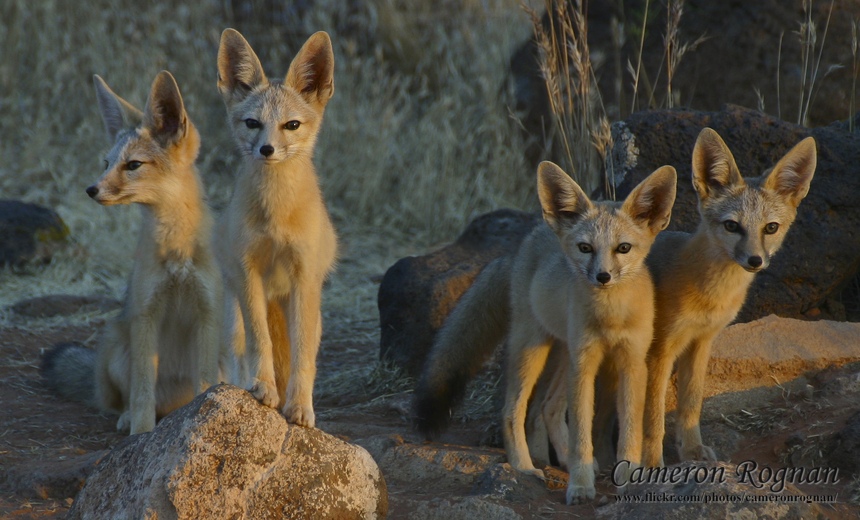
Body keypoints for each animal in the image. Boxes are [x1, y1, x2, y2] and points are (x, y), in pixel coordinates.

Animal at [41, 71, 222, 435]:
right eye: (106, 163)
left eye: (133, 164)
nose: (91, 189)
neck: (176, 251)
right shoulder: (146, 314)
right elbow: (141, 394)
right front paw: (141, 432)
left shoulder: (207, 314)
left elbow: (206, 386)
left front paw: (203, 416)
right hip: (117, 346)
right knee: (124, 400)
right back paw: (127, 418)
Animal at [215, 29, 337, 428]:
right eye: (252, 123)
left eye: (291, 125)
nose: (267, 150)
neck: (277, 215)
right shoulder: (248, 271)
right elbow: (260, 341)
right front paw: (262, 388)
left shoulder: (305, 277)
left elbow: (302, 356)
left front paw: (299, 406)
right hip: (233, 313)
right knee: (234, 355)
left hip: (310, 312)